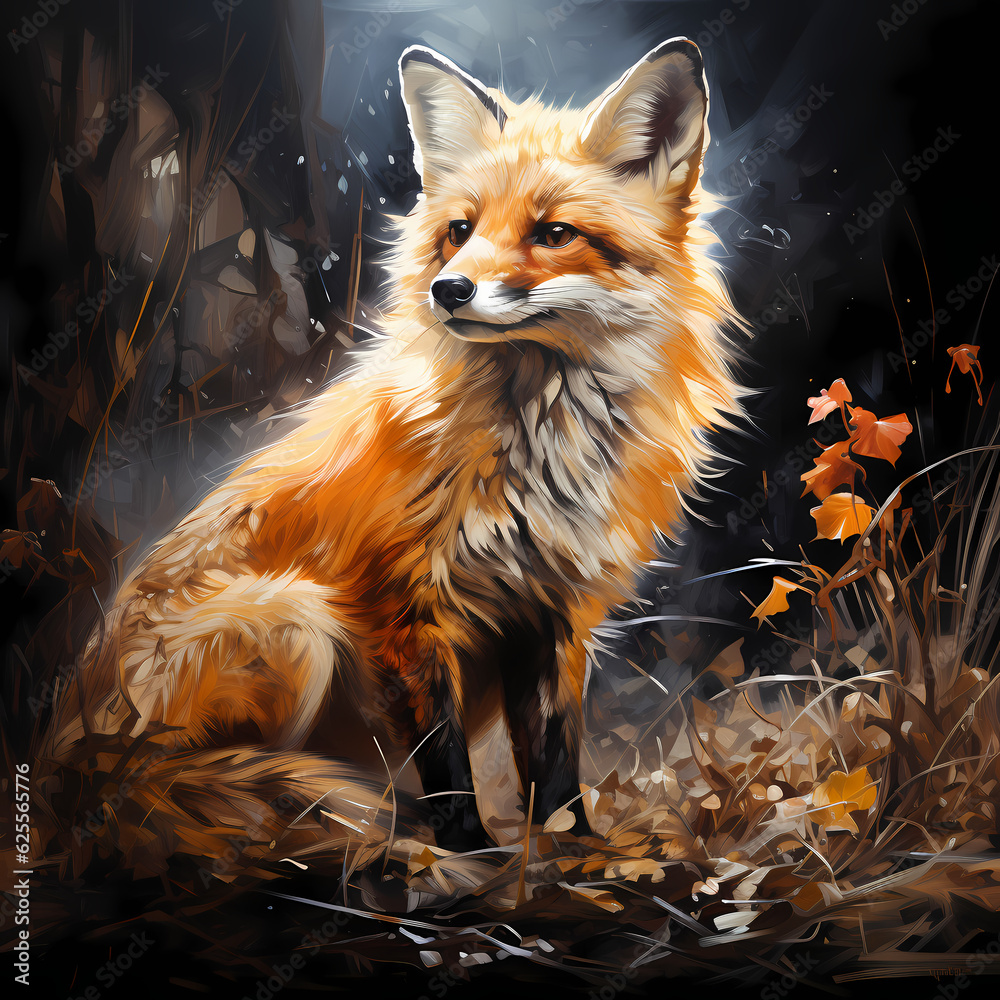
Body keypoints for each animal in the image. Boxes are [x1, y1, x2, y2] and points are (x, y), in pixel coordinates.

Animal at [34, 37, 744, 871]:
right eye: (461, 230)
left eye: (554, 233)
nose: (450, 289)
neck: (542, 452)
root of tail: (63, 755)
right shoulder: (401, 607)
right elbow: (446, 763)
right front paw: (471, 856)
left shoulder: (554, 610)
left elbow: (557, 757)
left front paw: (573, 849)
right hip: (298, 621)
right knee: (191, 787)